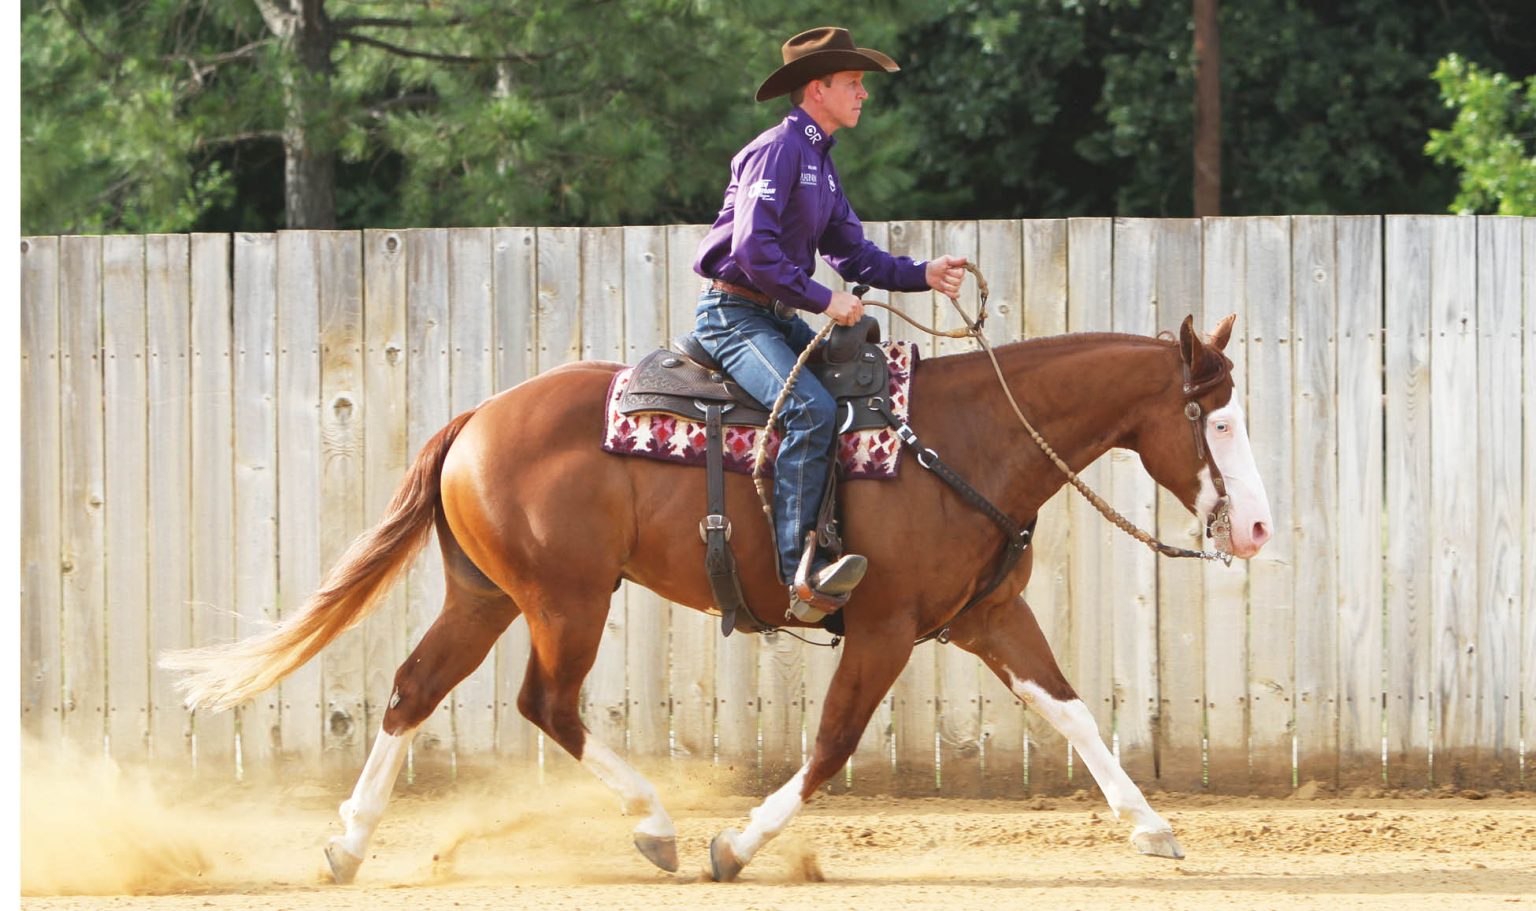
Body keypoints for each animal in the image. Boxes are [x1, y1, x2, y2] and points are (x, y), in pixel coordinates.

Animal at [162, 312, 1272, 884]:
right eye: (1215, 422)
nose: (1257, 528)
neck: (965, 438)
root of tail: (476, 417)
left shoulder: (986, 617)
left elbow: (1071, 710)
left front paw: (1154, 827)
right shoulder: (882, 627)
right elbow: (830, 744)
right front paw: (733, 842)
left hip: (485, 595)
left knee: (412, 687)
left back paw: (348, 842)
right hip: (566, 599)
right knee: (544, 703)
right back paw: (655, 823)